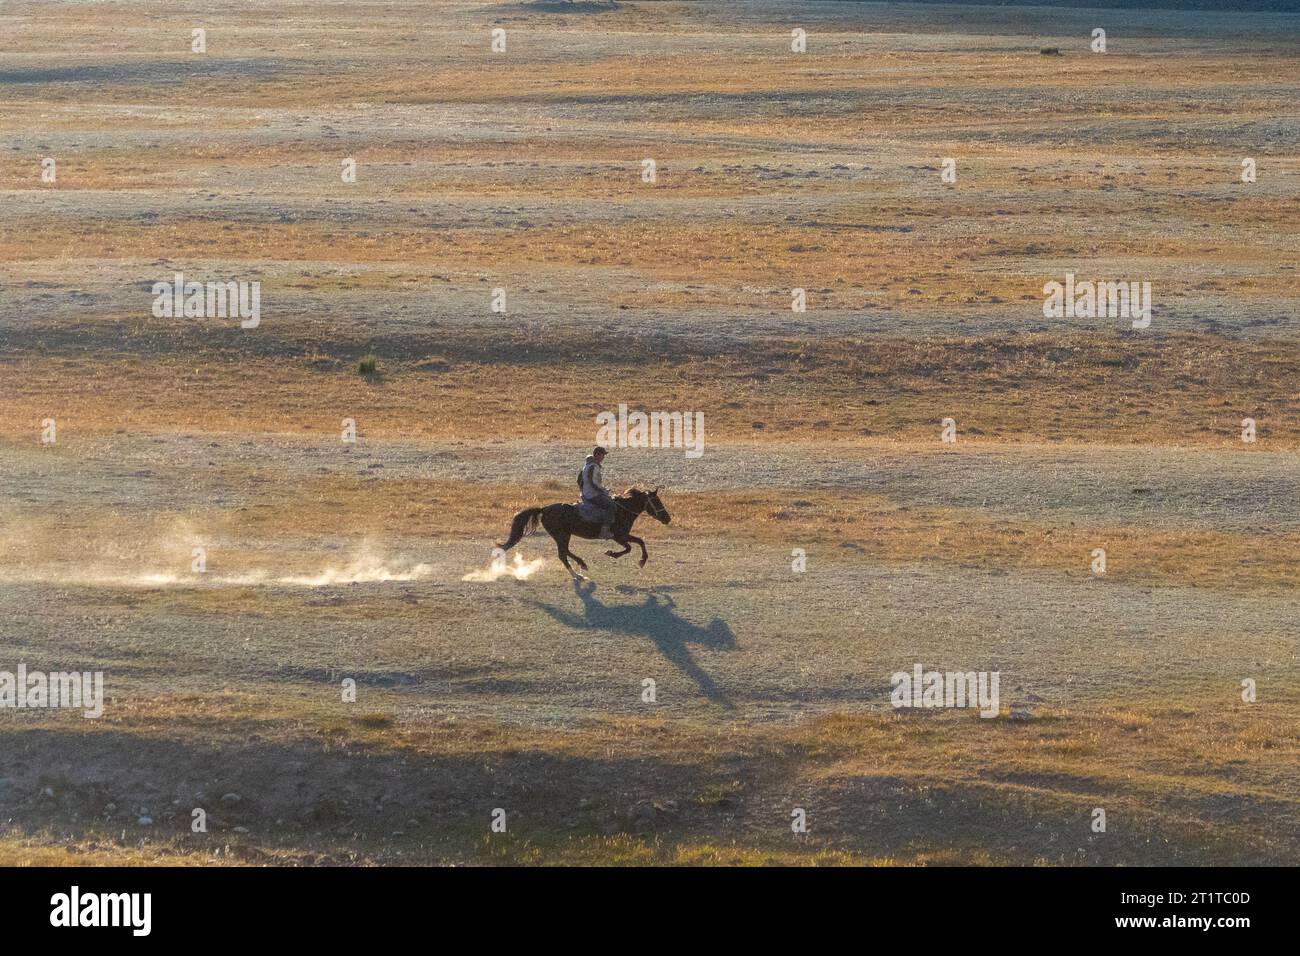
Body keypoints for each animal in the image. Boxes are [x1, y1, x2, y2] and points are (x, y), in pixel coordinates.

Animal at [498, 488, 671, 578]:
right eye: (656, 502)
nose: (667, 518)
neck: (623, 510)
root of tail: (545, 509)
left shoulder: (622, 536)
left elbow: (640, 542)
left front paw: (641, 560)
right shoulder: (619, 536)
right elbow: (631, 547)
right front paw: (614, 554)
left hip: (562, 535)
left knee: (565, 552)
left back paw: (581, 566)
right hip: (562, 535)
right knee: (563, 554)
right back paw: (578, 573)